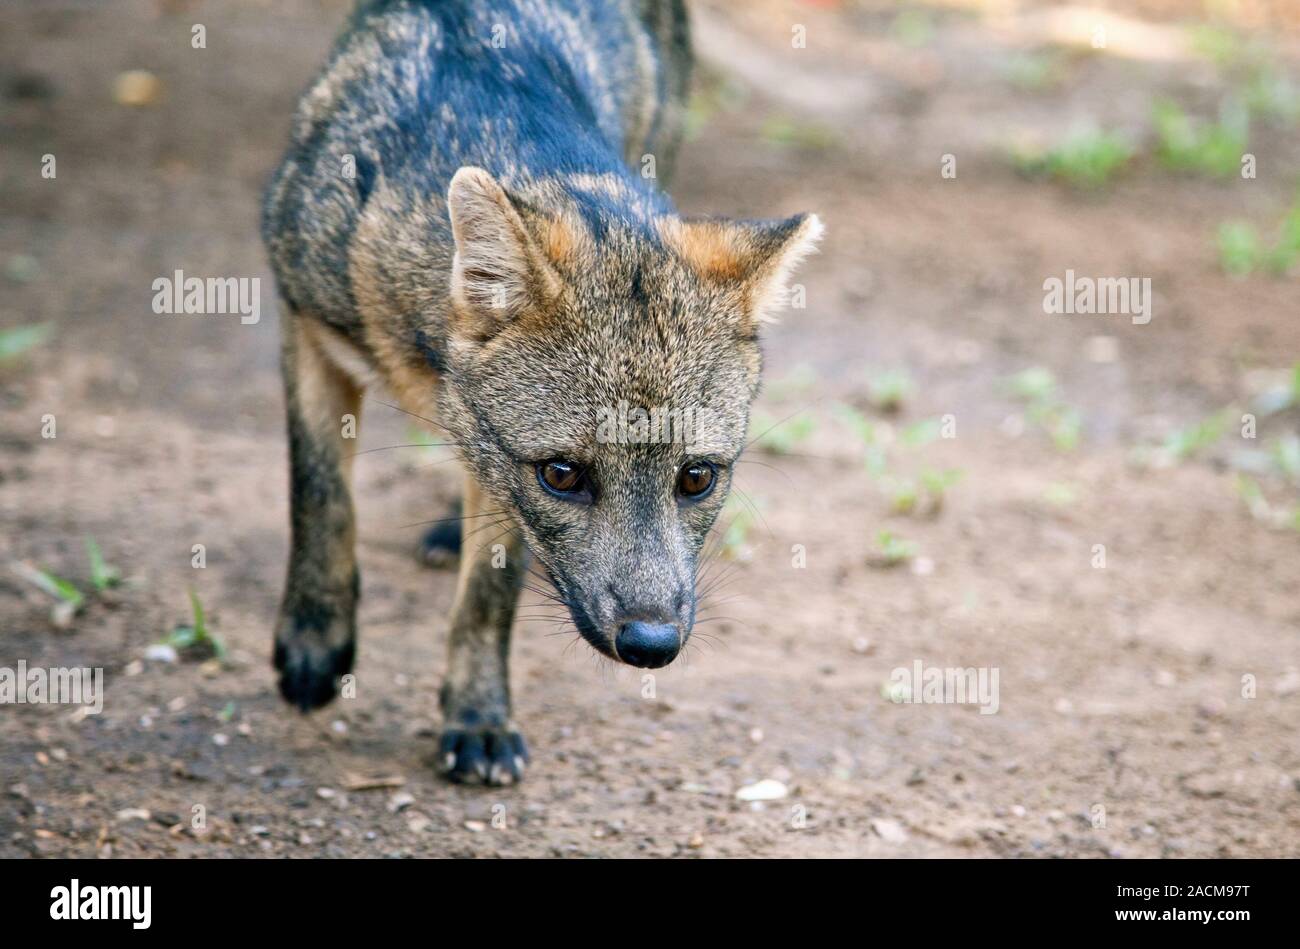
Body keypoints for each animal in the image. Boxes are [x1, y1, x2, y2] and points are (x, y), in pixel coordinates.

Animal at [262, 0, 822, 785]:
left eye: (697, 478)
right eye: (562, 475)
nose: (652, 643)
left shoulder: (498, 477)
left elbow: (489, 590)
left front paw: (478, 715)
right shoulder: (304, 317)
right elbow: (319, 492)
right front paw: (315, 639)